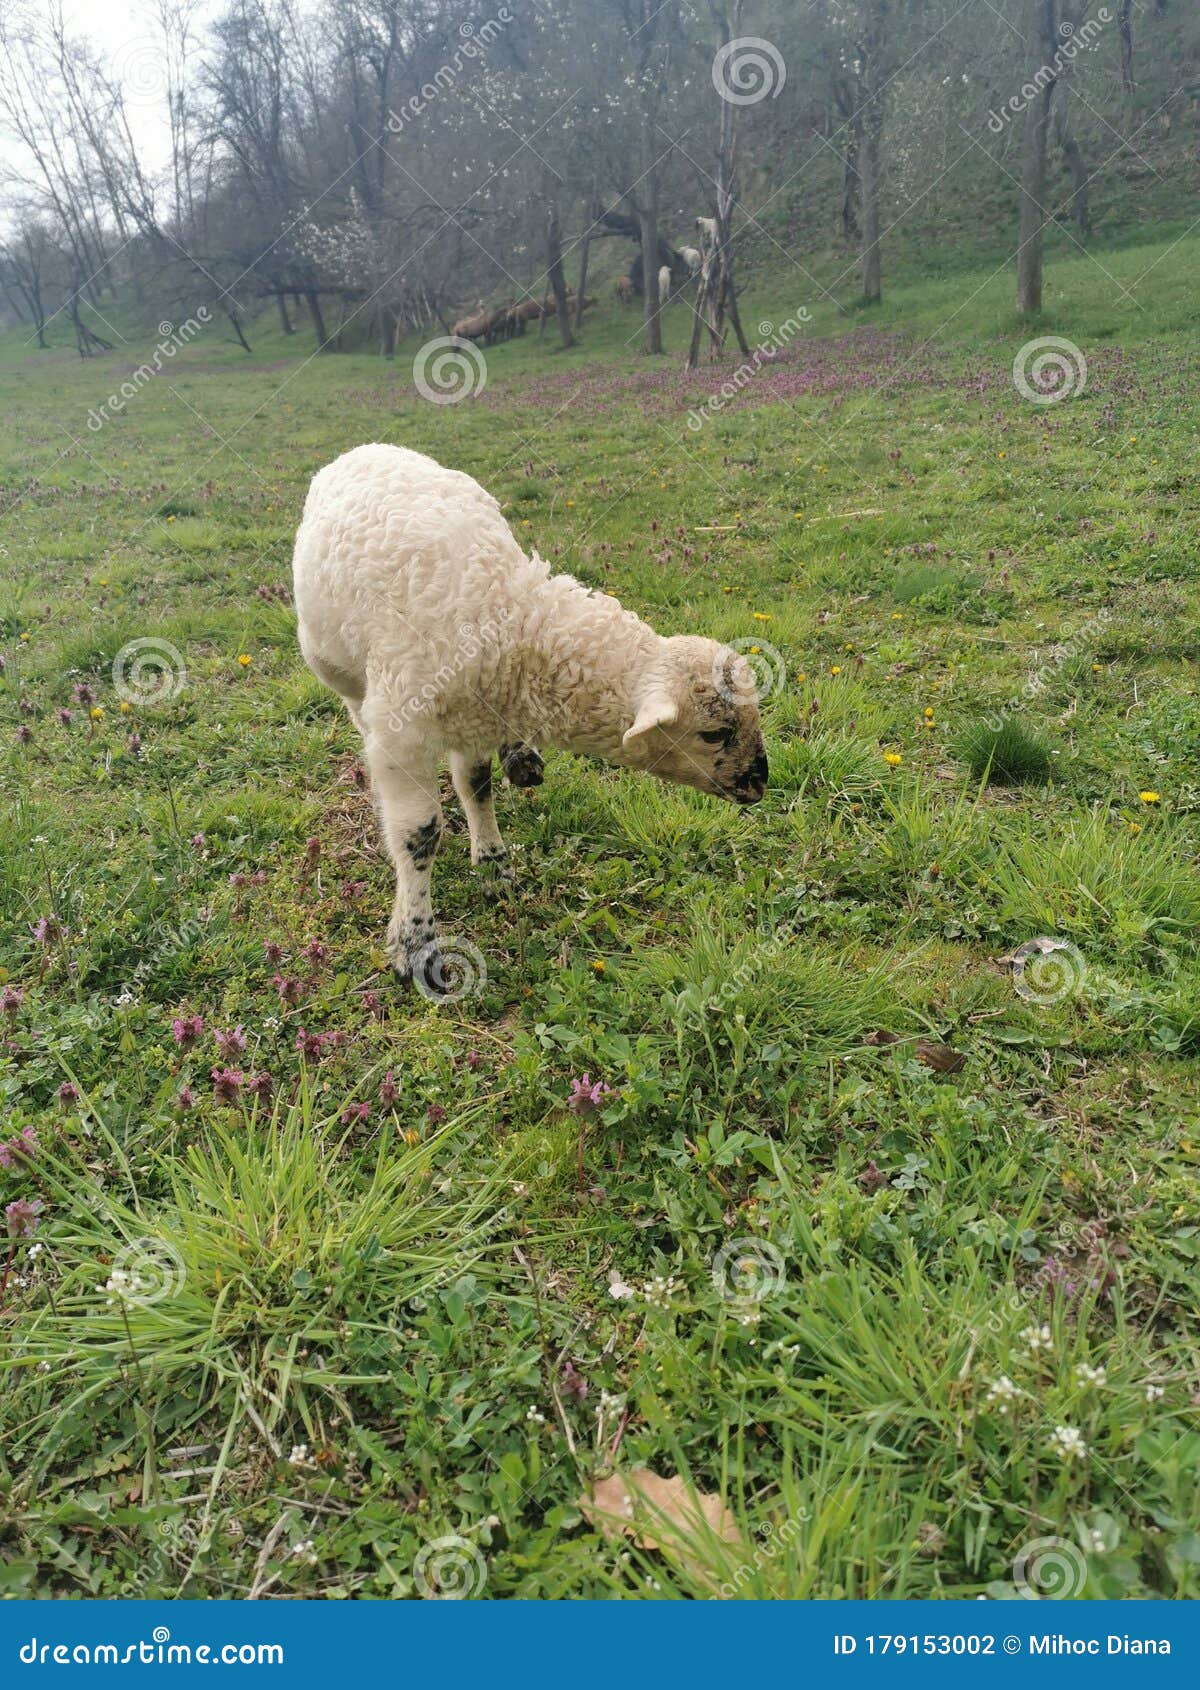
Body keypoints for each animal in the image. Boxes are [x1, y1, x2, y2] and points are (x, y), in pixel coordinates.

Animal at [293, 444, 769, 995]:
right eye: (713, 733)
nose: (760, 783)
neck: (513, 617)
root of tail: (368, 447)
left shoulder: (478, 714)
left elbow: (476, 786)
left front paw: (493, 864)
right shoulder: (403, 733)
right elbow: (420, 834)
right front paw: (415, 942)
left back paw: (521, 757)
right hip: (335, 665)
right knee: (355, 708)